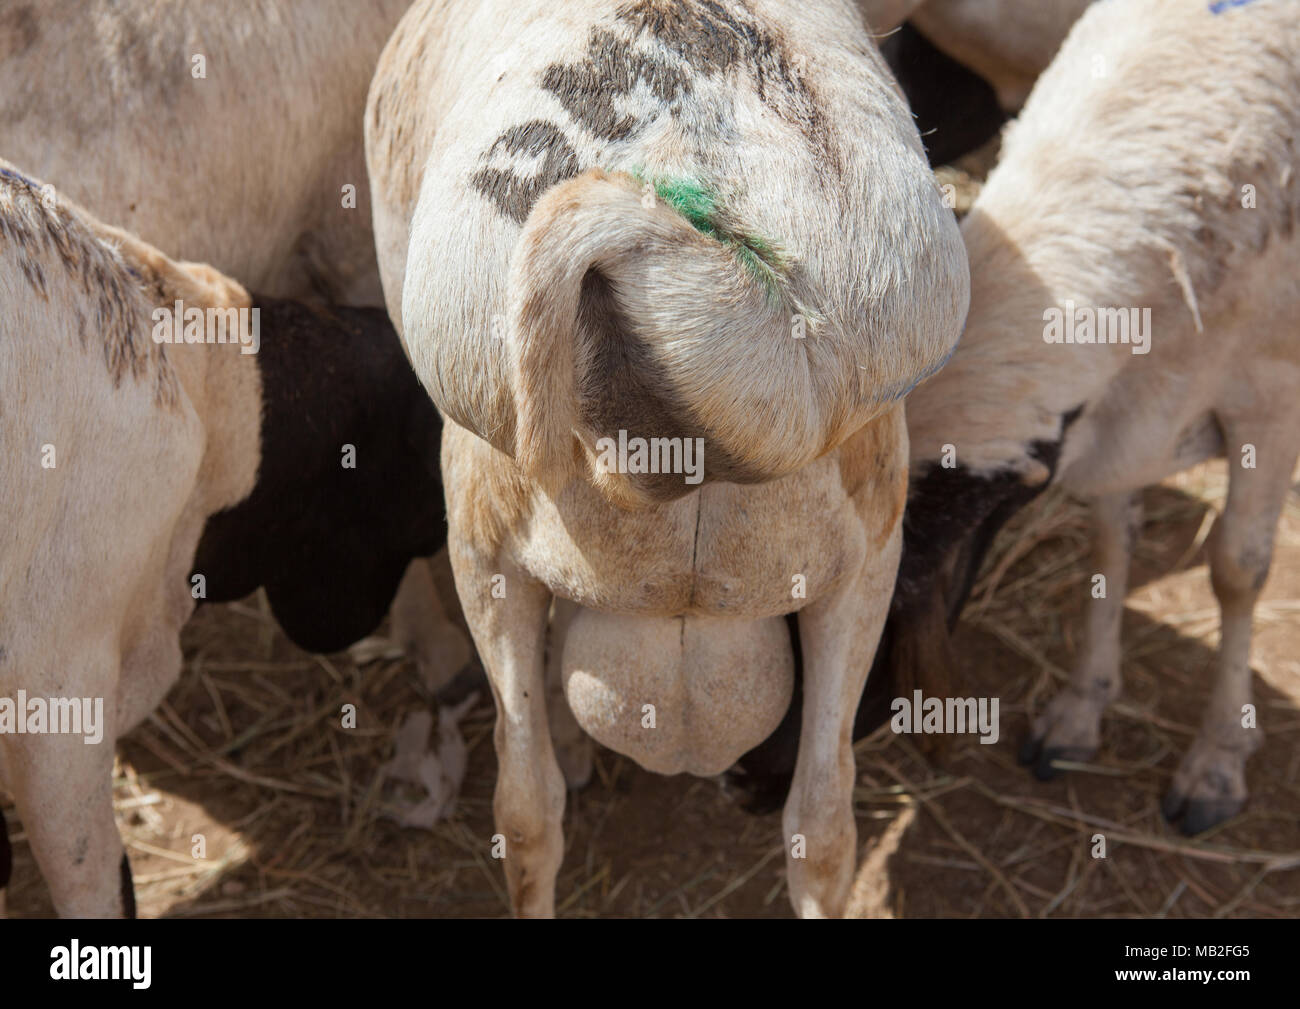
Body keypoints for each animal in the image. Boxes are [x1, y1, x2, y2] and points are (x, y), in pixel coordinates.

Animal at [739, 0, 1300, 832]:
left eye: (878, 608)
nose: (741, 781)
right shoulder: (1112, 423)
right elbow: (1110, 544)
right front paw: (1079, 711)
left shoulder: (1269, 401)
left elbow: (1237, 569)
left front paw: (1218, 760)